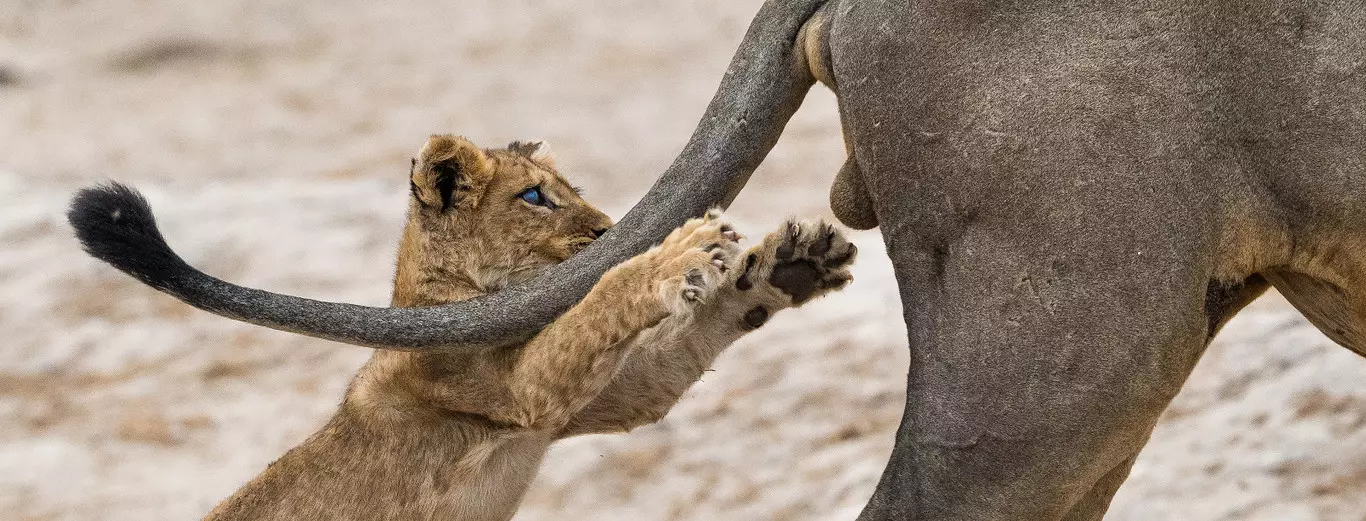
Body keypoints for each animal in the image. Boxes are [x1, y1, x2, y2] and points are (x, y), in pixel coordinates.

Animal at [69, 1, 1360, 519]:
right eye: (535, 193)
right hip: (1062, 336)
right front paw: (690, 252)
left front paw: (769, 266)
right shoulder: (507, 382)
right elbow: (589, 323)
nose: (599, 225)